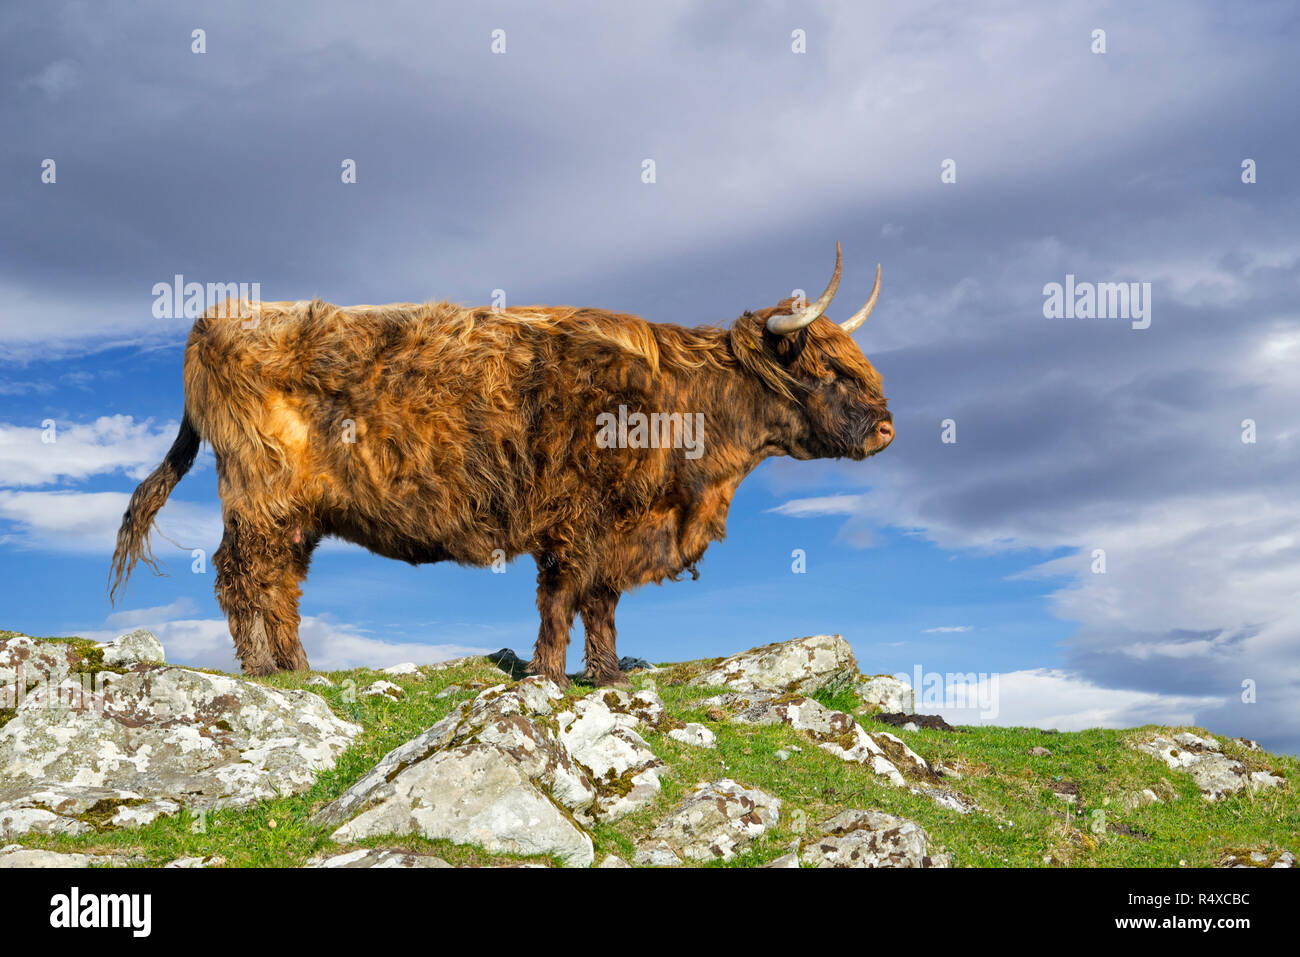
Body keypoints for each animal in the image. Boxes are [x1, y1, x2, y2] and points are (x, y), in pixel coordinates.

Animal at [109, 244, 893, 688]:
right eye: (827, 370)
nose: (887, 429)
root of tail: (213, 319)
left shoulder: (617, 526)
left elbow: (601, 602)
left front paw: (607, 676)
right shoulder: (576, 515)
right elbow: (562, 597)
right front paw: (548, 675)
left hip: (298, 512)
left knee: (281, 585)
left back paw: (299, 668)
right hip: (259, 493)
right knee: (241, 575)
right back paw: (264, 670)